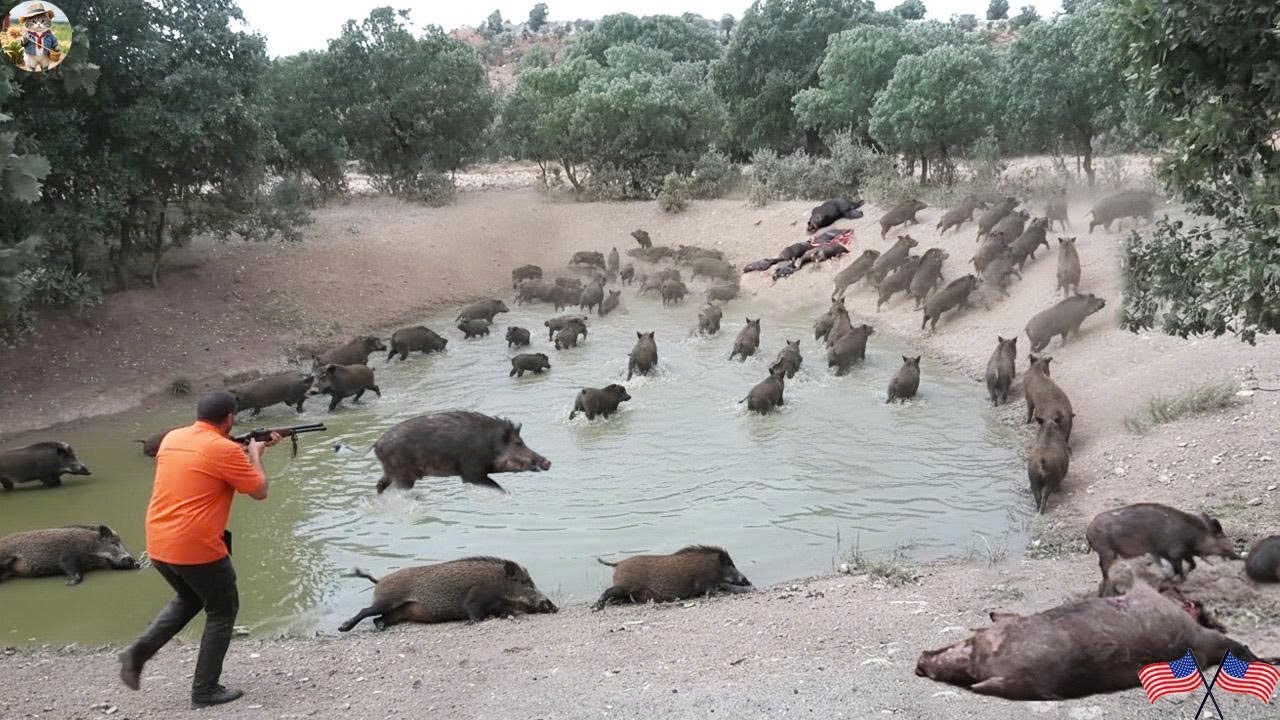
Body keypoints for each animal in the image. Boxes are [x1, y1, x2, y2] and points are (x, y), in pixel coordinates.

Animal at [338, 557, 557, 631]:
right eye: (526, 583)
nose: (554, 606)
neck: (500, 586)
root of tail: (380, 580)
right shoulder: (475, 597)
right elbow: (476, 615)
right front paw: (469, 624)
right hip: (385, 600)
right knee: (366, 610)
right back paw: (343, 628)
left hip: (398, 613)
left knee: (379, 619)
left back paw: (381, 627)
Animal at [372, 411, 550, 493]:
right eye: (519, 443)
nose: (548, 461)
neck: (491, 445)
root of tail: (377, 444)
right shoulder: (471, 471)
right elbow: (495, 486)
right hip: (403, 475)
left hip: (391, 472)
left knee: (380, 484)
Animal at [593, 545, 752, 610]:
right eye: (730, 564)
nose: (747, 580)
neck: (715, 567)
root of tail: (617, 564)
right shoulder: (708, 585)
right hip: (624, 586)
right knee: (608, 592)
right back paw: (596, 607)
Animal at [1086, 503, 1239, 596]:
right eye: (1224, 542)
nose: (1237, 556)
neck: (1193, 538)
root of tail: (1088, 533)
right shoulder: (1174, 553)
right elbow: (1180, 571)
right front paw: (1179, 584)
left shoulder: (1172, 553)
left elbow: (1189, 566)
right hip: (1107, 553)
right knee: (1105, 575)